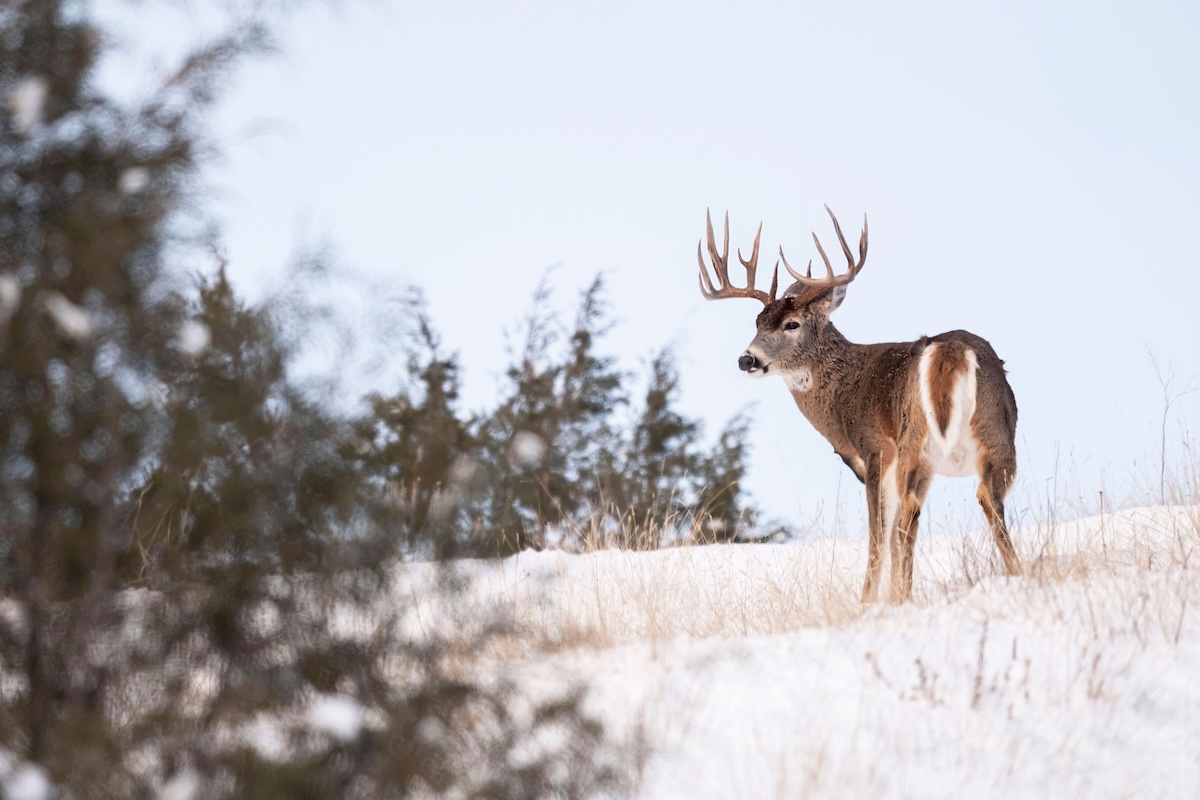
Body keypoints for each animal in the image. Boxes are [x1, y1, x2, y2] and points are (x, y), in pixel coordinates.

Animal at [696, 206, 1020, 603]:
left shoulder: (874, 449)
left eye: (792, 324)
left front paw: (870, 601)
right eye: (757, 321)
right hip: (997, 431)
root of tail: (952, 351)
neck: (844, 392)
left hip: (913, 442)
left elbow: (880, 534)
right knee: (987, 498)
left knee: (903, 520)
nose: (747, 359)